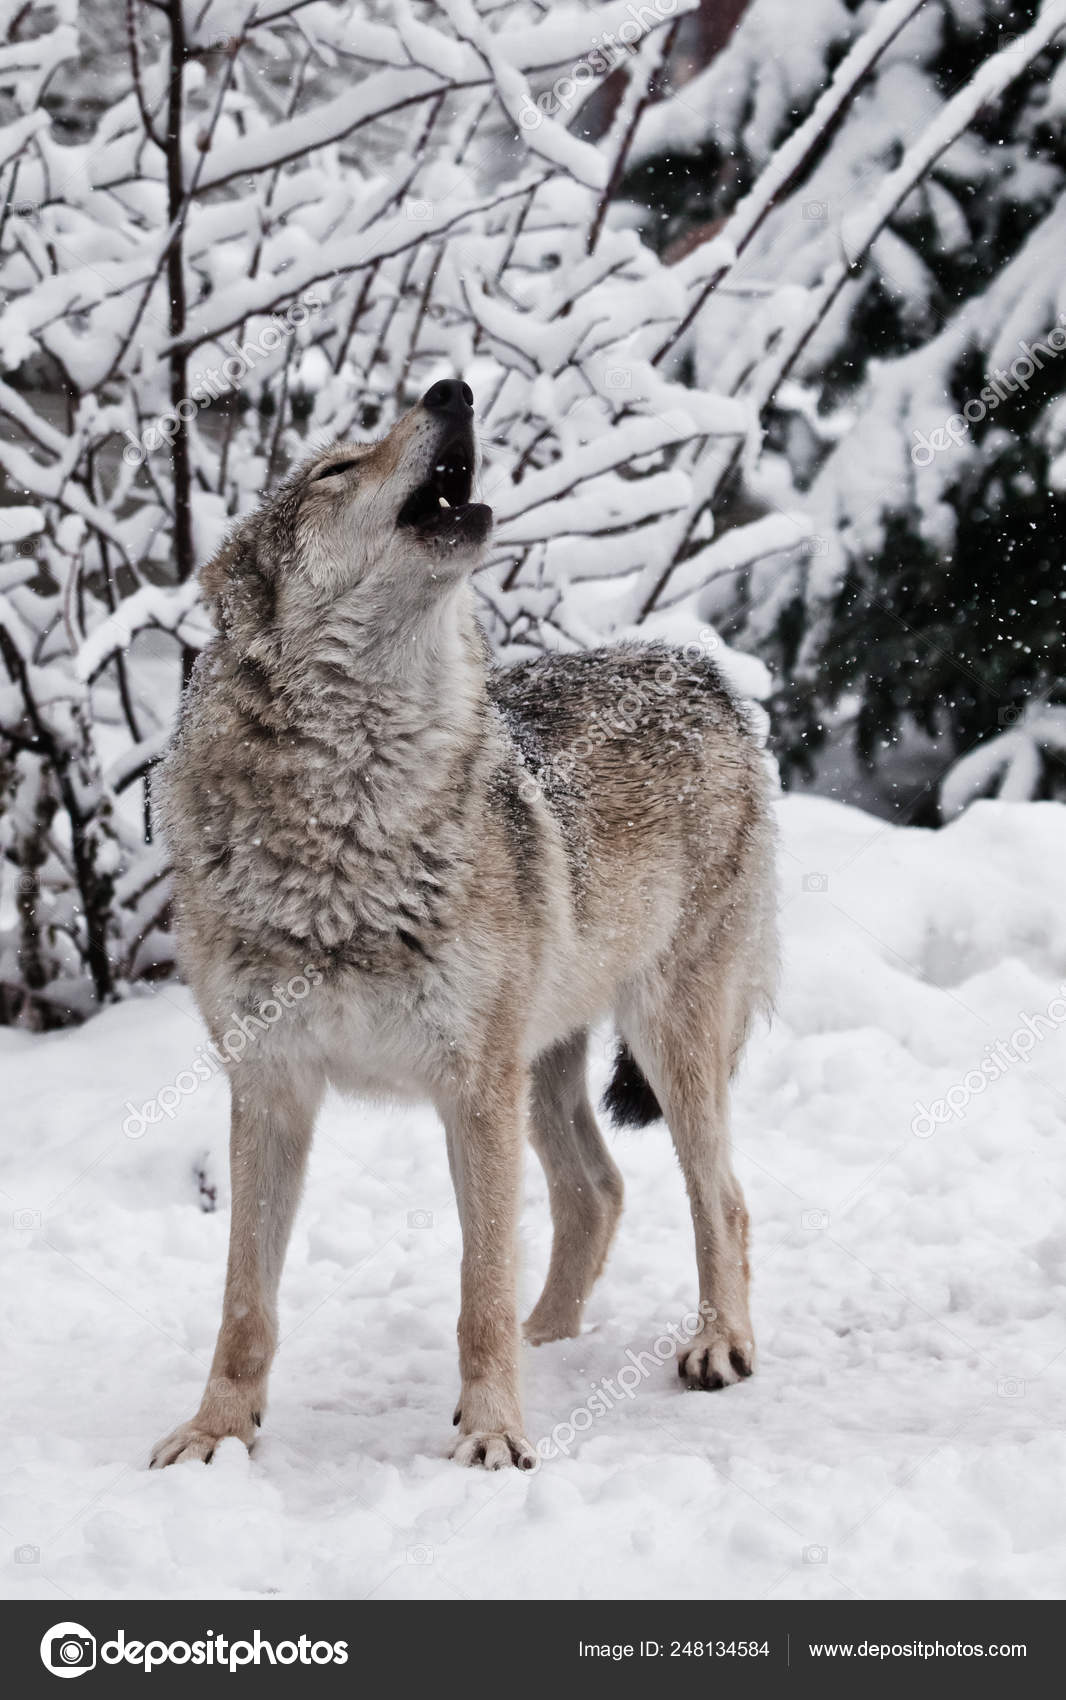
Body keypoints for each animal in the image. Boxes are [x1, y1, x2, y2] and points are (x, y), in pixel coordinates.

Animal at [151, 379, 777, 1472]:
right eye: (335, 469)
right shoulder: (270, 1088)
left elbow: (476, 1287)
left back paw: (715, 1344)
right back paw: (552, 1337)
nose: (452, 389)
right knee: (596, 1190)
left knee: (722, 1197)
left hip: (662, 1041)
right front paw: (216, 1433)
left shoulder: (471, 1089)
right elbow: (244, 1303)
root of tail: (697, 665)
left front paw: (493, 1436)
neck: (352, 816)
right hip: (546, 1064)